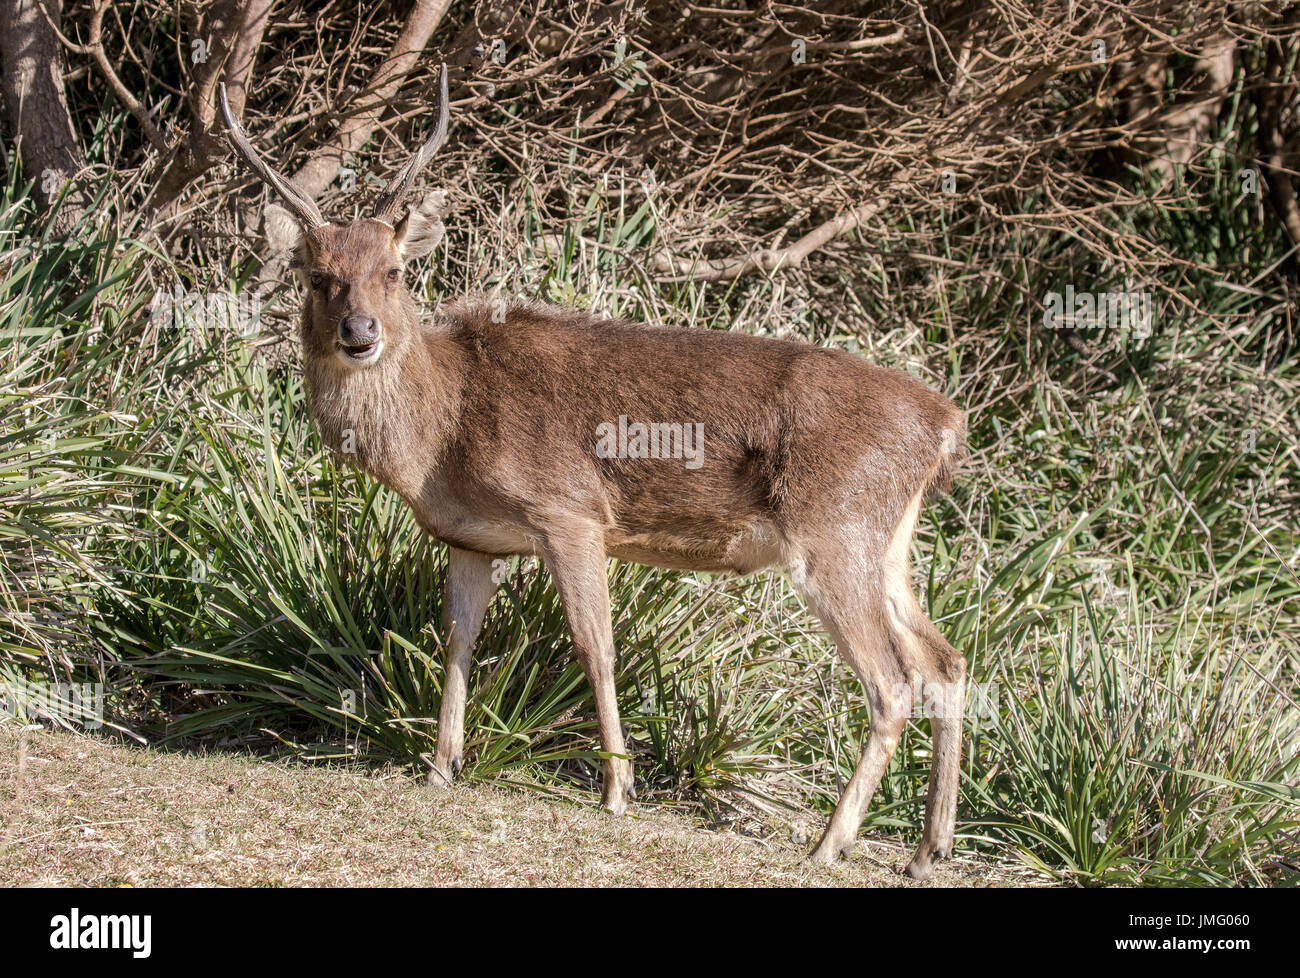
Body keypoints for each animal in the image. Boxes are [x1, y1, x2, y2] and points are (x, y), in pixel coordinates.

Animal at [218, 65, 968, 881]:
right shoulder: (471, 538)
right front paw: (440, 767)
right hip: (887, 545)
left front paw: (617, 790)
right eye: (318, 277)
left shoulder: (568, 509)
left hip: (832, 532)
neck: (441, 436)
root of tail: (943, 423)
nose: (360, 333)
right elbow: (457, 641)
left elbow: (595, 644)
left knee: (892, 681)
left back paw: (831, 840)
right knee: (946, 660)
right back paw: (926, 849)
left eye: (394, 271)